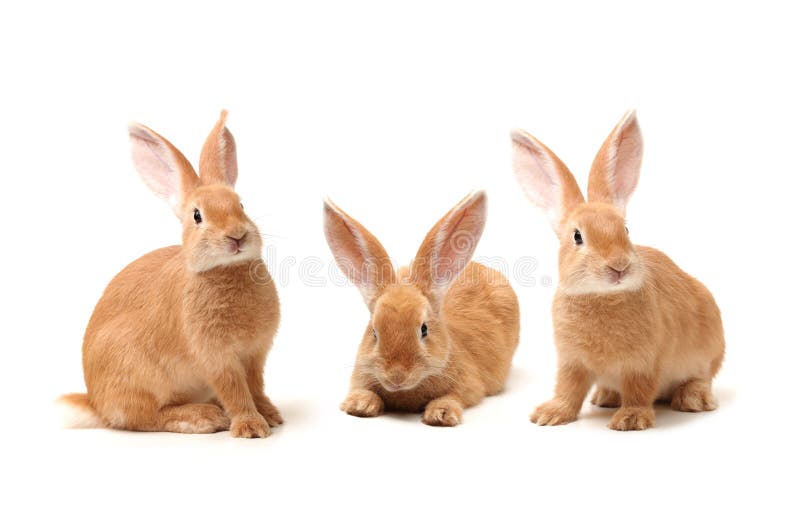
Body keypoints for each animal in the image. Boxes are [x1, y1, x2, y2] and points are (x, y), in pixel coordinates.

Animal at [58, 111, 282, 438]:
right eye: (197, 216)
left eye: (241, 205)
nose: (236, 236)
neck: (226, 270)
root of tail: (95, 402)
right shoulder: (216, 357)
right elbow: (235, 390)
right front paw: (251, 427)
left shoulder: (254, 354)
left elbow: (255, 386)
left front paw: (270, 414)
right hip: (134, 371)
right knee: (144, 417)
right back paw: (202, 417)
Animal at [323, 191, 520, 426]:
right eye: (374, 332)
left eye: (424, 329)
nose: (397, 376)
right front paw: (359, 405)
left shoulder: (469, 385)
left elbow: (454, 397)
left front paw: (441, 414)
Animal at [511, 111, 725, 431]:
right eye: (577, 237)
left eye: (625, 230)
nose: (619, 266)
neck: (600, 296)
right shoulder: (571, 362)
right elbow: (568, 389)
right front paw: (550, 415)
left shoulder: (644, 362)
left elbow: (639, 390)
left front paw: (630, 419)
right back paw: (605, 397)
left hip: (707, 351)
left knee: (701, 377)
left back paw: (692, 400)